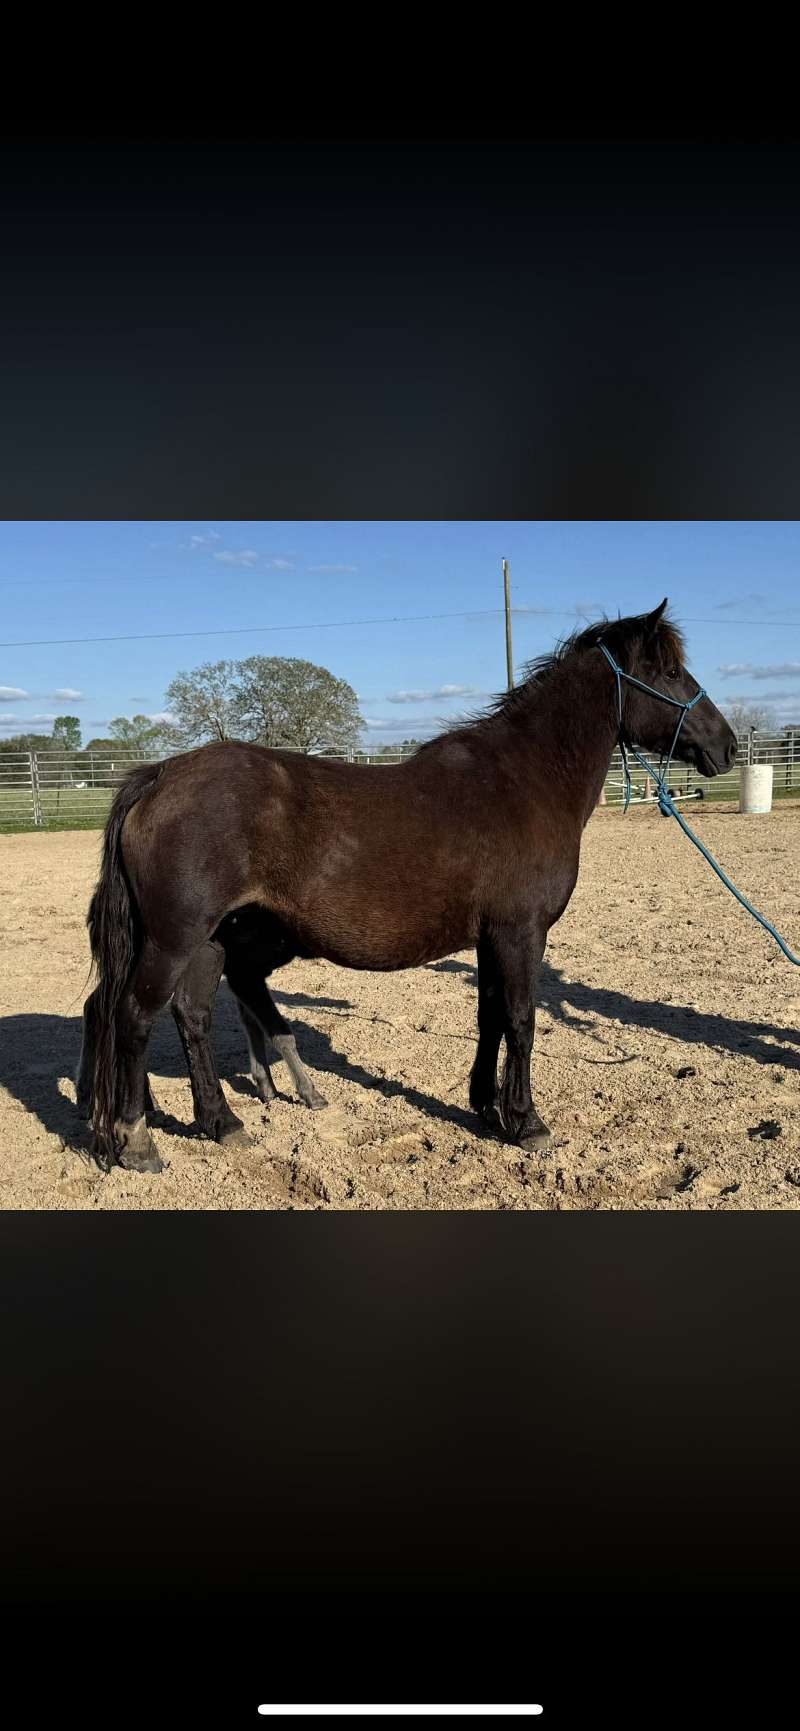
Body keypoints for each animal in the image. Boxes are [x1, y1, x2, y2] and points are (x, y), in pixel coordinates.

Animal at [76, 600, 737, 1174]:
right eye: (671, 671)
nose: (726, 745)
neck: (525, 779)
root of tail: (159, 776)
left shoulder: (489, 938)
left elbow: (490, 1017)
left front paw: (484, 1105)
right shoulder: (520, 932)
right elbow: (522, 1020)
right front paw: (526, 1122)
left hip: (212, 939)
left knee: (192, 1016)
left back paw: (222, 1121)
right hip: (173, 939)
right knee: (132, 1016)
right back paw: (136, 1140)